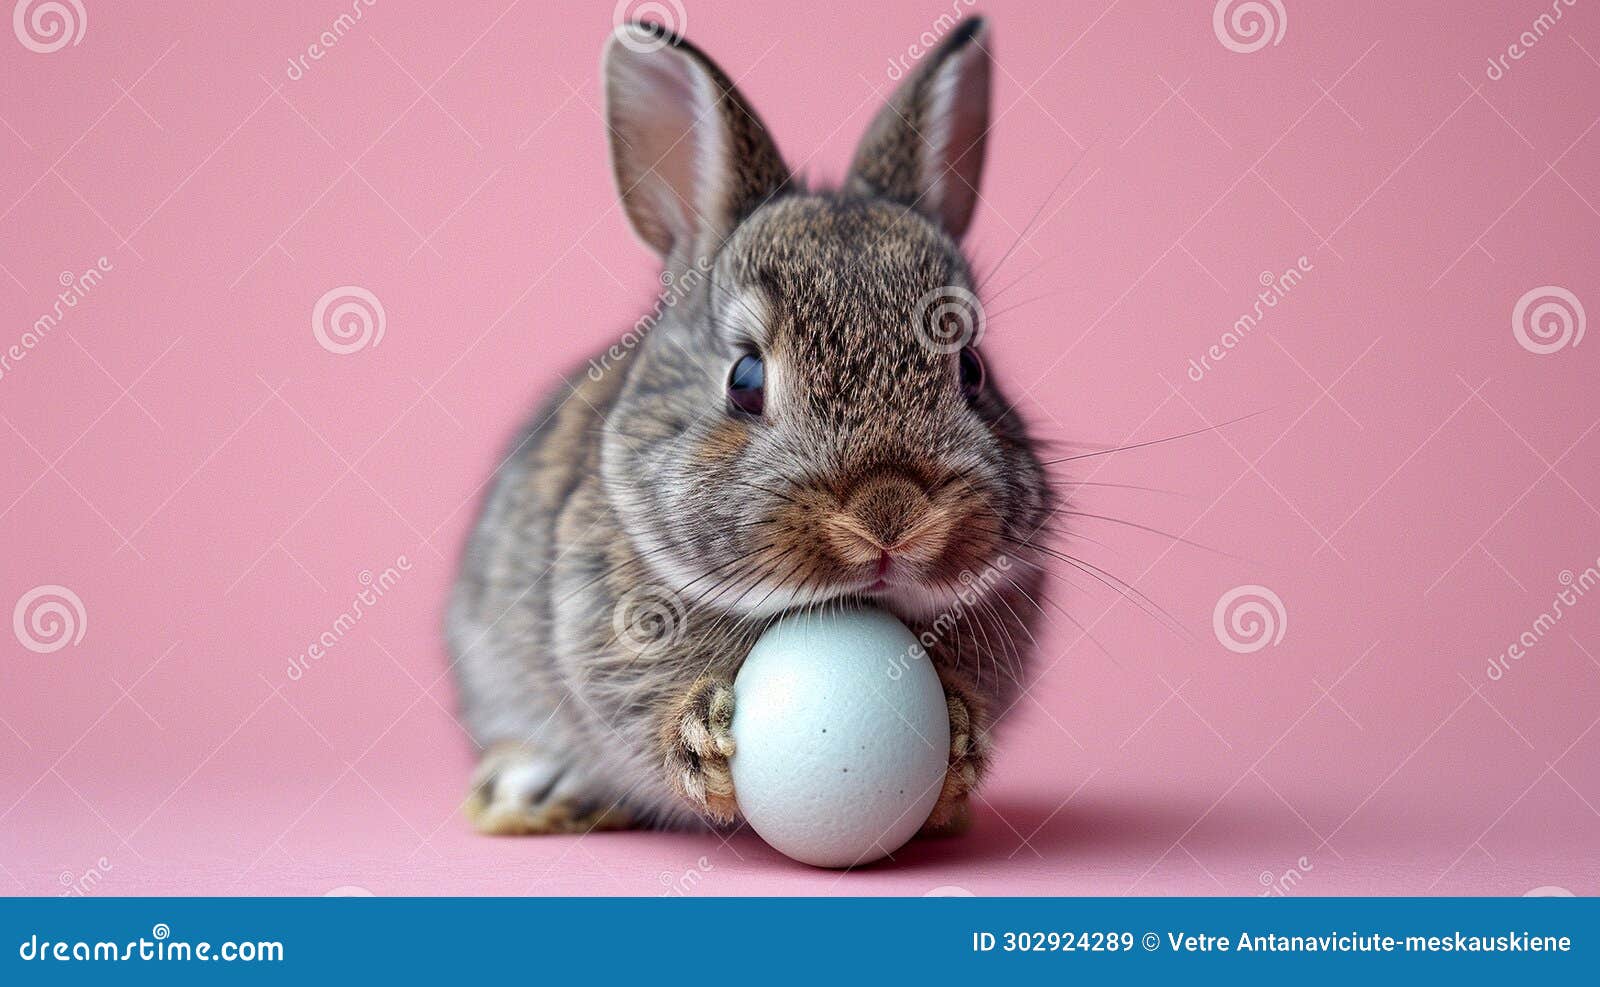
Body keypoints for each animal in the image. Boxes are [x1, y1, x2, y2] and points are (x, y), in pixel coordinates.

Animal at [447, 16, 1054, 835]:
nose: (889, 514)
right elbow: (640, 711)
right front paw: (698, 736)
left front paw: (959, 735)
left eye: (974, 369)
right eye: (744, 379)